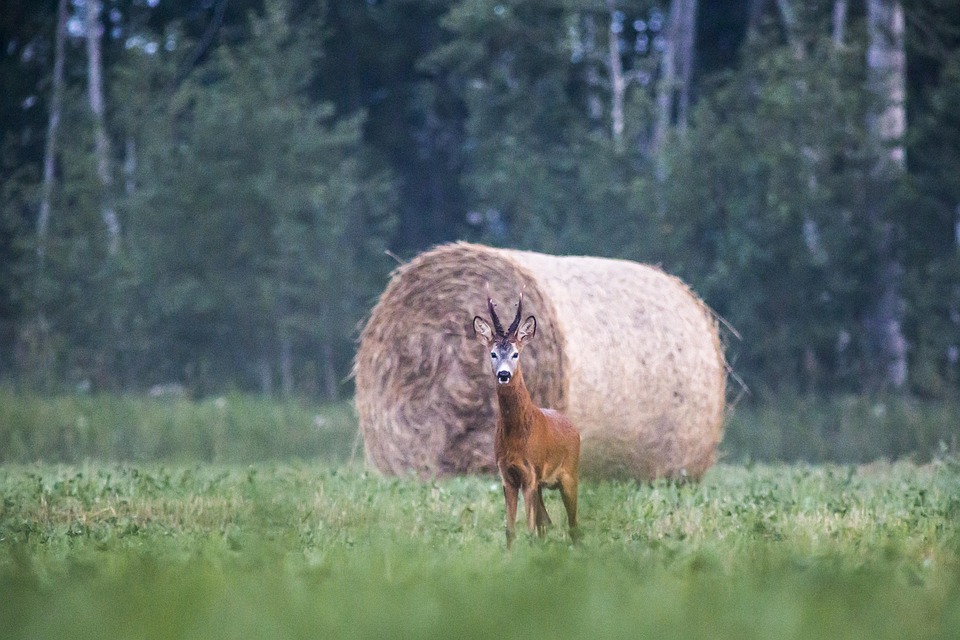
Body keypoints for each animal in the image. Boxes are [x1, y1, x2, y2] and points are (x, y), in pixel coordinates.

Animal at [473, 290, 581, 548]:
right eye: (493, 353)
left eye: (515, 353)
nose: (503, 374)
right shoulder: (507, 475)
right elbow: (510, 529)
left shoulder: (531, 472)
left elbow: (530, 529)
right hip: (543, 484)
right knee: (545, 523)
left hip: (570, 474)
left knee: (573, 525)